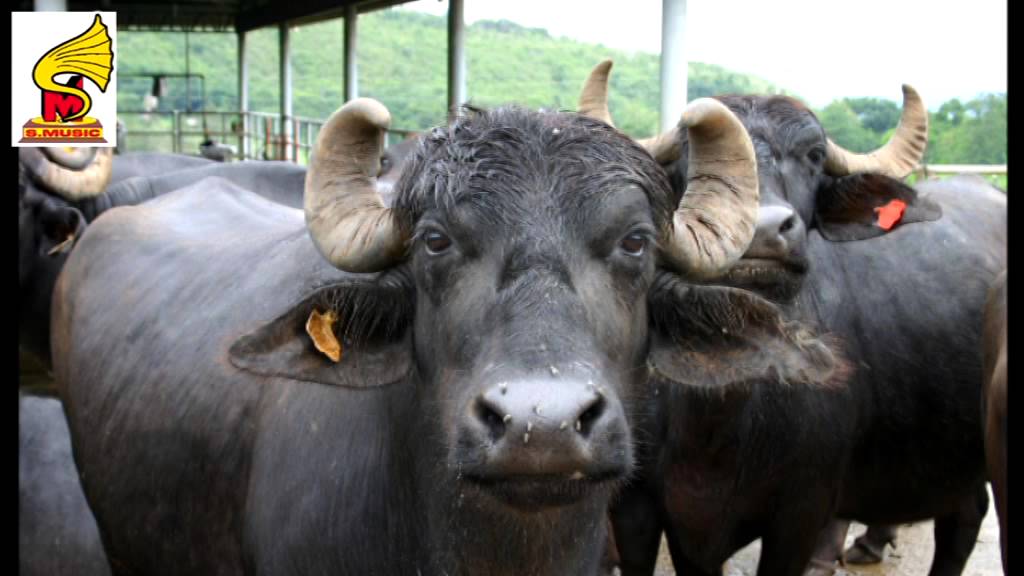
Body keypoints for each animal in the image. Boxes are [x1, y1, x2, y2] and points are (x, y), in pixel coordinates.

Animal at [582, 61, 1006, 575]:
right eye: (690, 155)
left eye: (814, 155)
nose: (764, 230)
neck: (719, 417)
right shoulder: (640, 510)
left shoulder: (803, 512)